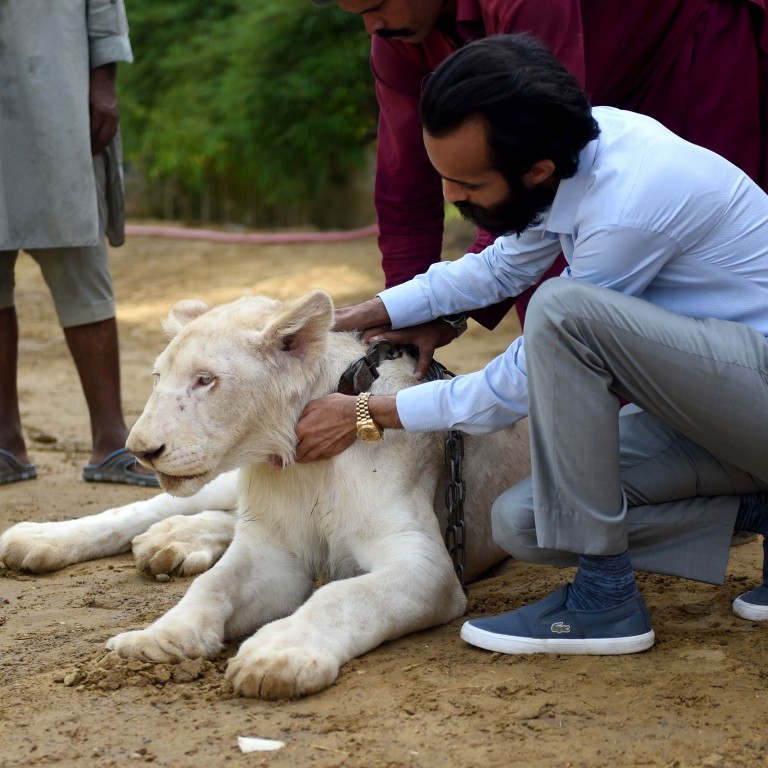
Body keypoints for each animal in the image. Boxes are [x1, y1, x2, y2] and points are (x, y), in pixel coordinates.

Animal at [1, 290, 530, 699]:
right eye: (157, 378)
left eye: (205, 380)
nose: (140, 451)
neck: (297, 463)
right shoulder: (273, 552)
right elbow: (212, 585)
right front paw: (159, 639)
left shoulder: (428, 566)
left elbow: (342, 596)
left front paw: (277, 657)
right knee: (156, 507)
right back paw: (40, 539)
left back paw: (172, 542)